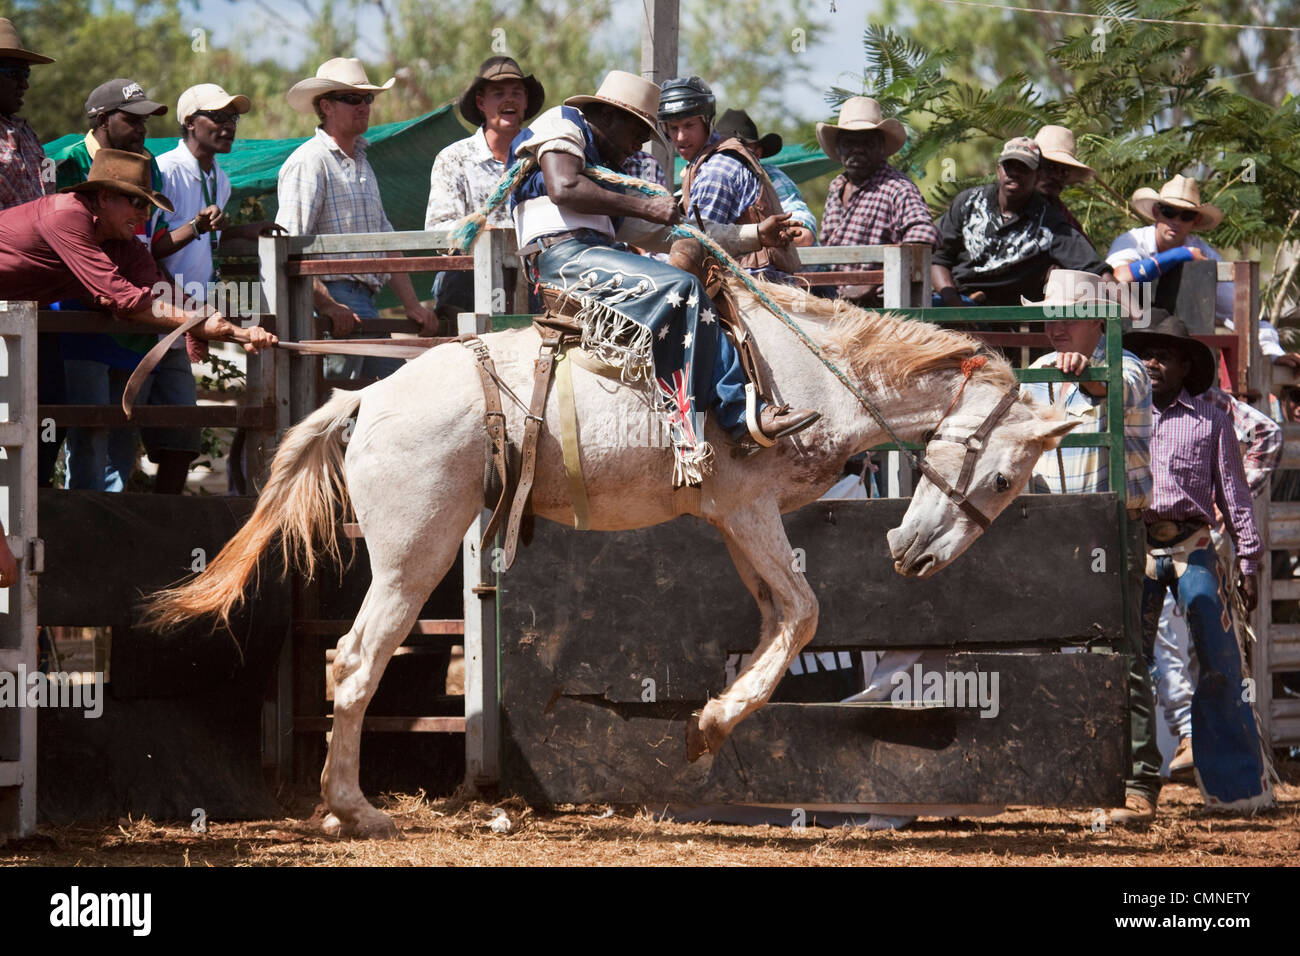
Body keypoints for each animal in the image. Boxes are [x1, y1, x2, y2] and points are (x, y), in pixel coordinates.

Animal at [144, 277, 1076, 837]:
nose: (915, 557)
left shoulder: (733, 519)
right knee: (357, 661)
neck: (810, 375)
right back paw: (355, 810)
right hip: (415, 553)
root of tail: (364, 396)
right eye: (1002, 477)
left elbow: (777, 617)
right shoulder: (749, 506)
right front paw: (710, 726)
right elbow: (805, 613)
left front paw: (715, 719)